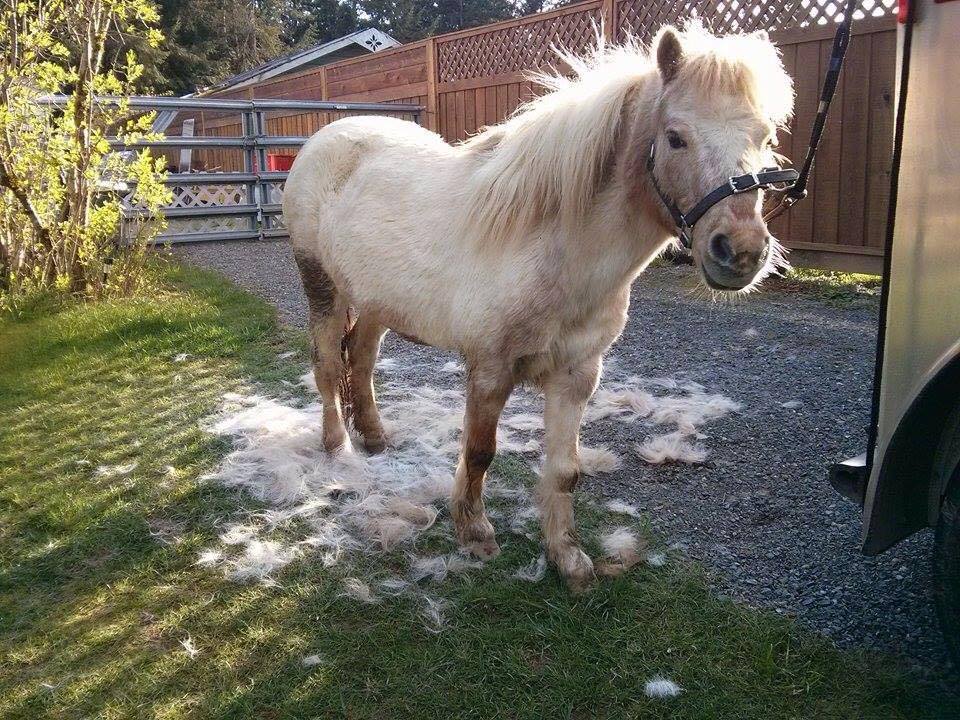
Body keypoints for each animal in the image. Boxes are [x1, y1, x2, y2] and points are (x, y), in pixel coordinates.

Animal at [282, 23, 794, 591]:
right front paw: (475, 532)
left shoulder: (577, 374)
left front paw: (566, 558)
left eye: (766, 139)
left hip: (375, 303)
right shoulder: (490, 369)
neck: (553, 247)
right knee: (329, 367)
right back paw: (338, 447)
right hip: (322, 288)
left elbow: (565, 471)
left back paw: (373, 437)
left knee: (362, 359)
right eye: (676, 137)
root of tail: (326, 139)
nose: (741, 251)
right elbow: (479, 452)